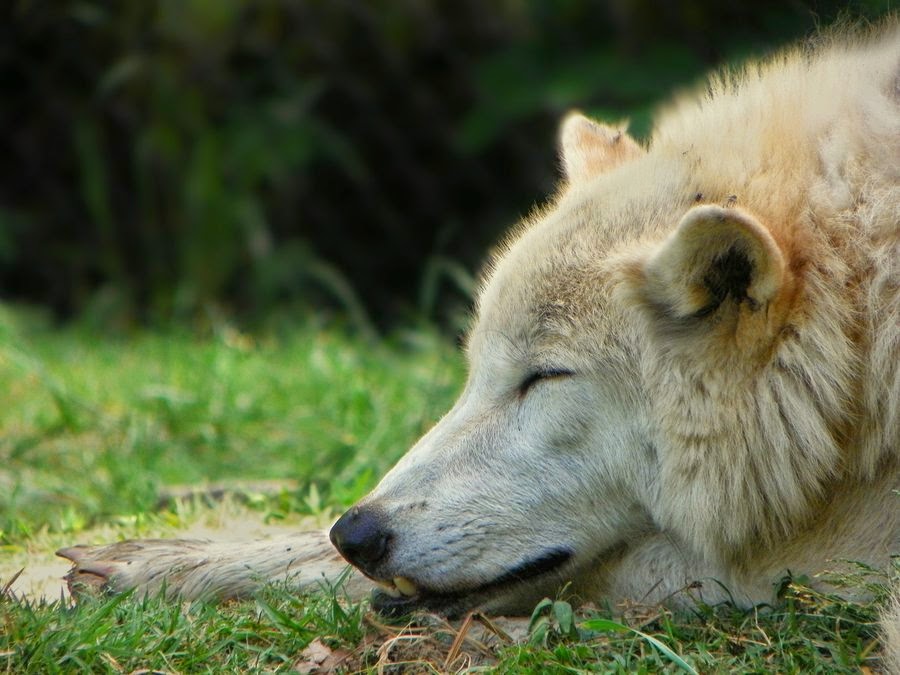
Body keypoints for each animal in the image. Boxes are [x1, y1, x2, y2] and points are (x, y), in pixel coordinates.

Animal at [60, 20, 899, 667]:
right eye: (477, 373)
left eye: (542, 378)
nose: (357, 533)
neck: (858, 339)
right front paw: (167, 557)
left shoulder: (833, 561)